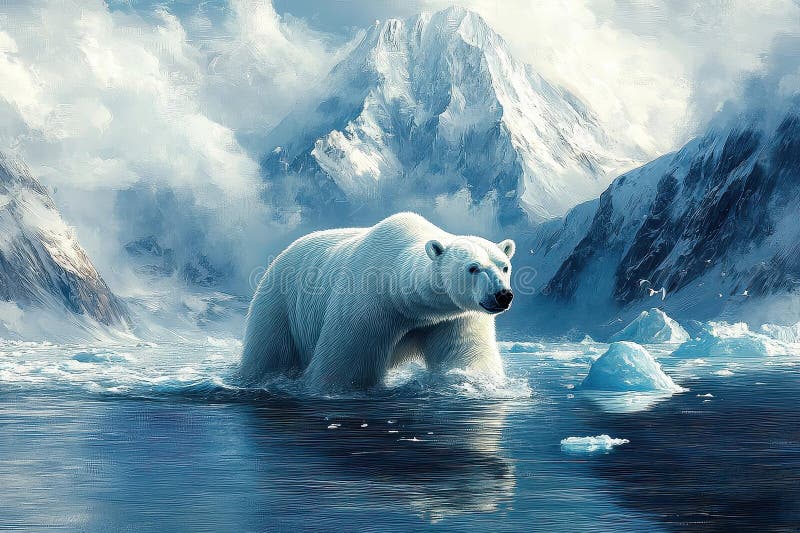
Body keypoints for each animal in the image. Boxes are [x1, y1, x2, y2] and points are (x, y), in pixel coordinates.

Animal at [240, 212, 515, 391]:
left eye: (504, 266)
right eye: (473, 268)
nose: (502, 295)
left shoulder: (452, 316)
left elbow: (468, 356)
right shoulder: (367, 306)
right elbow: (344, 366)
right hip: (280, 302)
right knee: (269, 351)